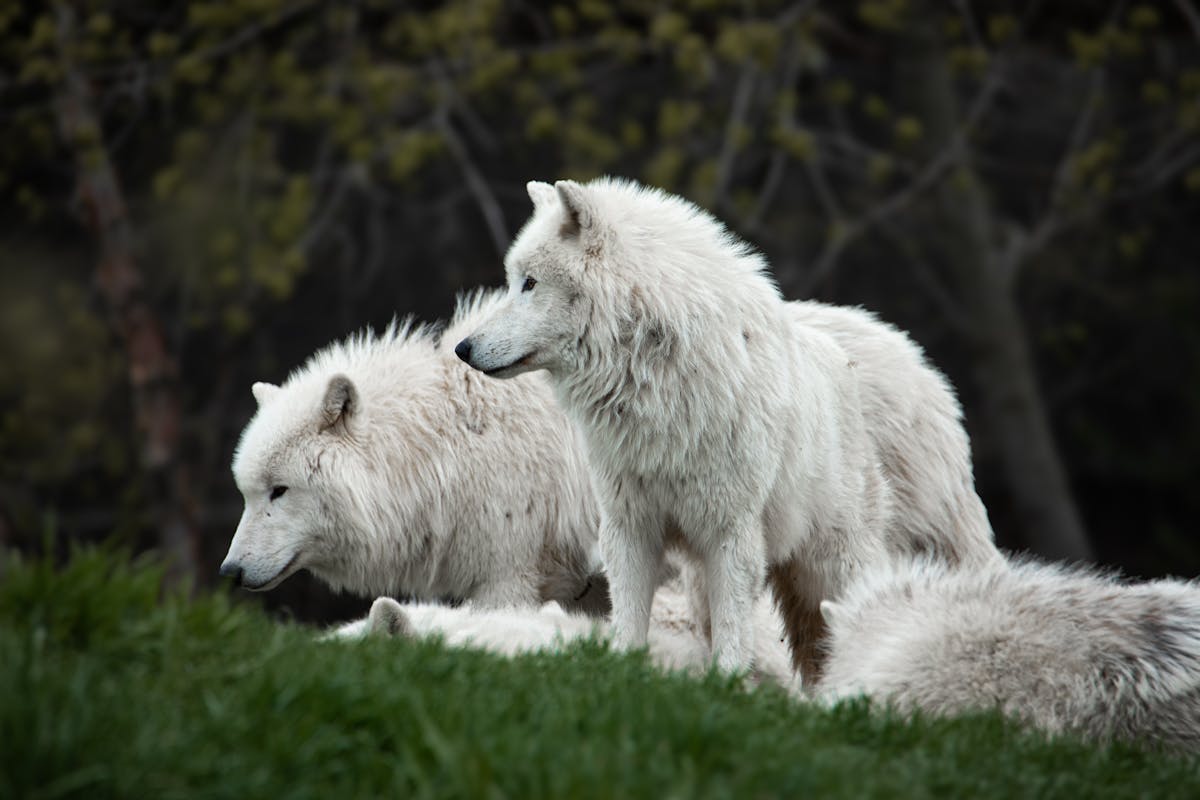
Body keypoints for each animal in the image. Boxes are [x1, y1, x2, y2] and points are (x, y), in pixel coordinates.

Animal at [455, 176, 990, 677]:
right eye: (512, 280)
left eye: (529, 283)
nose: (463, 348)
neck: (655, 380)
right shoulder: (629, 527)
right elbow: (628, 621)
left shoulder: (731, 532)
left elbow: (734, 634)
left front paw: (728, 686)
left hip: (836, 560)